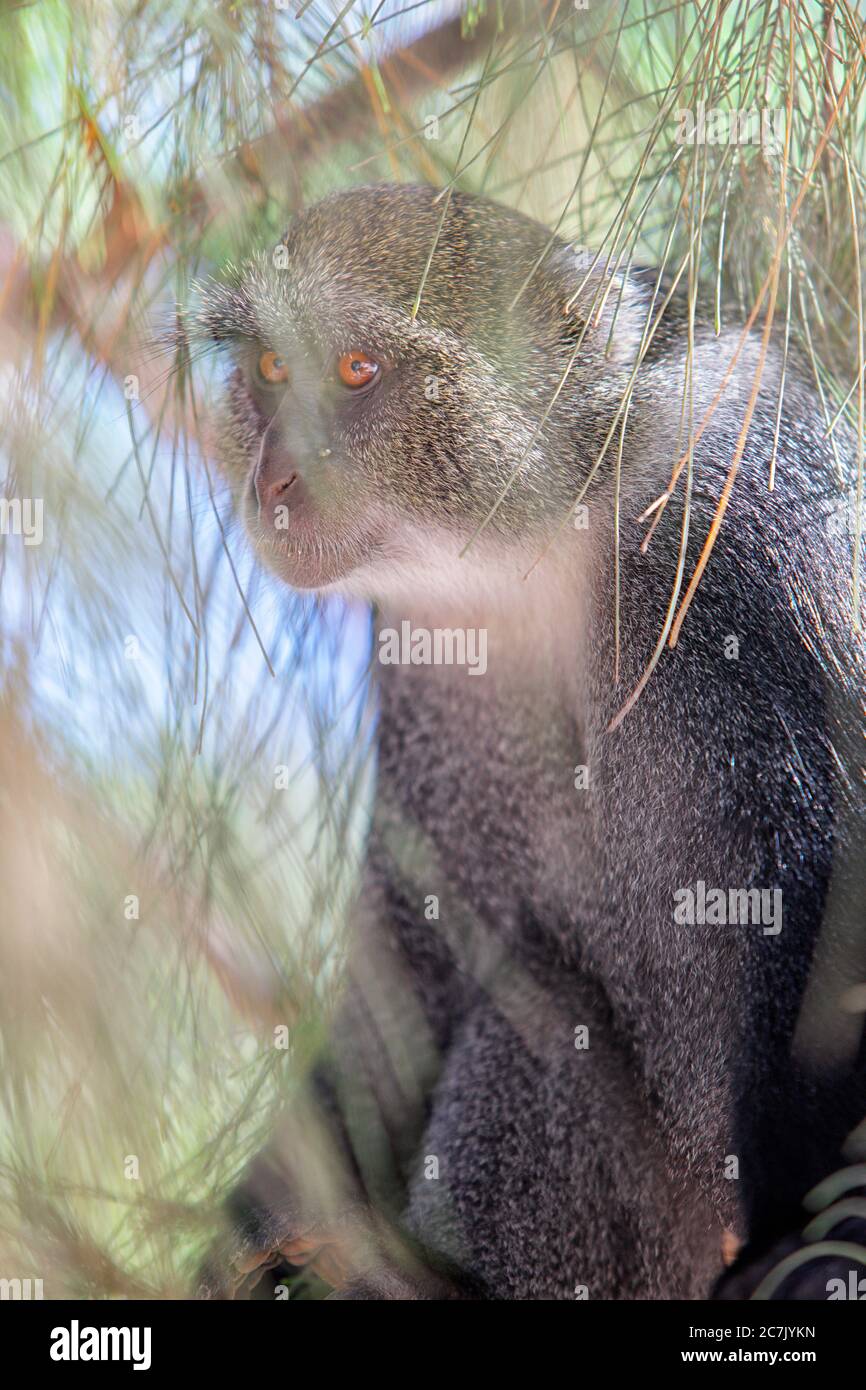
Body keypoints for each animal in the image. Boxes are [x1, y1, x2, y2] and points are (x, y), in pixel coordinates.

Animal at [193, 182, 866, 1300]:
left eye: (357, 371)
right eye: (272, 370)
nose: (274, 478)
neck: (549, 524)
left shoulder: (726, 535)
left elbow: (809, 906)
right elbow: (419, 950)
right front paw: (254, 1221)